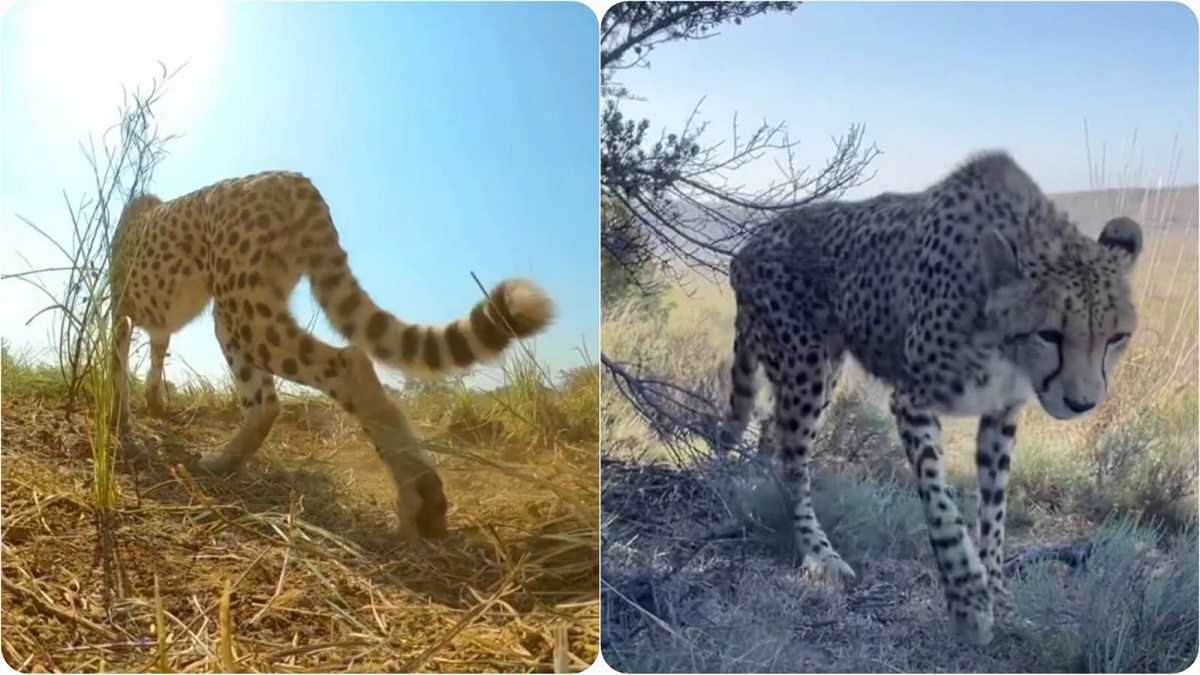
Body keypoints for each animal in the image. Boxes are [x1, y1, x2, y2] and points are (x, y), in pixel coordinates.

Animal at [109, 171, 554, 541]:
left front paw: (118, 422)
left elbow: (116, 360)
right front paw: (152, 404)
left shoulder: (118, 310)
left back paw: (414, 498)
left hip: (239, 310)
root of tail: (292, 179)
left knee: (341, 366)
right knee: (273, 398)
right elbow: (156, 354)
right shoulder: (152, 324)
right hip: (242, 305)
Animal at [719, 151, 1141, 645]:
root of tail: (748, 245)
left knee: (773, 434)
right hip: (806, 367)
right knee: (793, 461)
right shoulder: (912, 399)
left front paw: (999, 595)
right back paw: (818, 552)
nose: (1082, 403)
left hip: (821, 372)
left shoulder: (1001, 413)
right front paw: (968, 601)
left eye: (1116, 337)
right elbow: (942, 505)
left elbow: (994, 513)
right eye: (1050, 334)